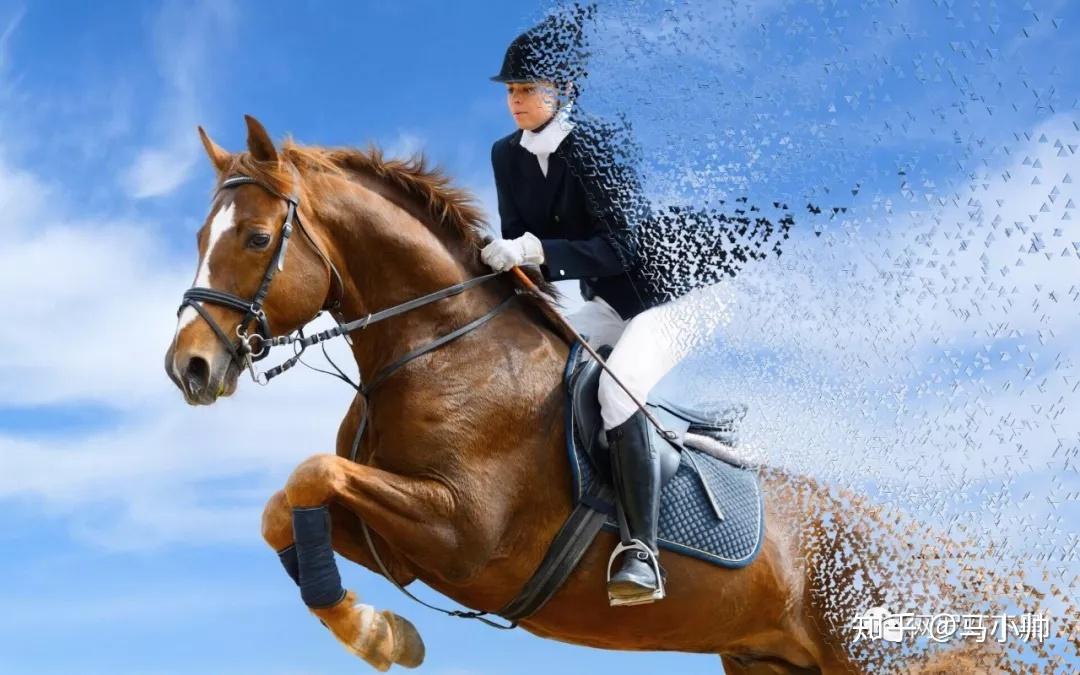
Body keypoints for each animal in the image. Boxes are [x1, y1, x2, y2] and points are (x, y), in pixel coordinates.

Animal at [163, 115, 1022, 674]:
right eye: (201, 236)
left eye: (256, 238)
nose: (188, 369)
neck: (438, 345)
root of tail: (943, 562)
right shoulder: (398, 543)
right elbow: (285, 505)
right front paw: (383, 633)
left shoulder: (462, 529)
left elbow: (310, 473)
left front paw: (378, 637)